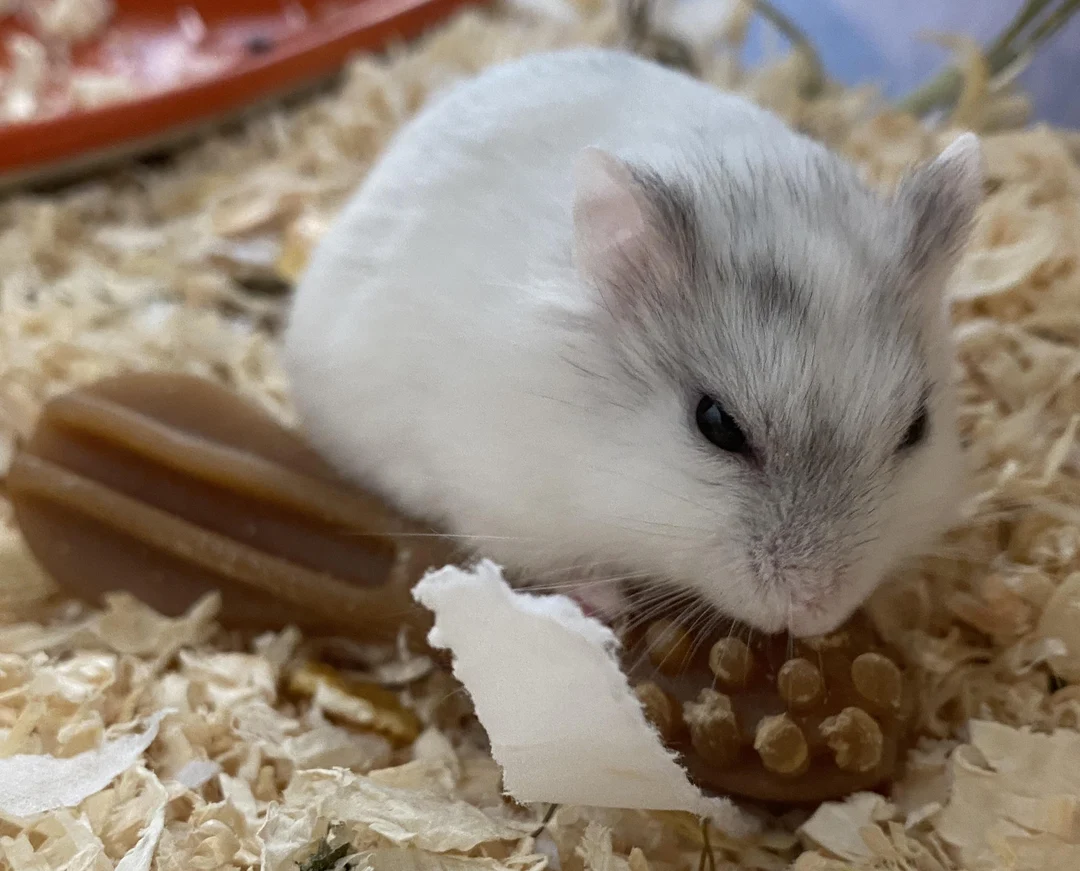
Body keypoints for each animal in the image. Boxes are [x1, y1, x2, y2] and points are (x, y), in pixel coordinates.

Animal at [283, 48, 983, 638]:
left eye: (917, 428)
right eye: (716, 424)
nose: (815, 611)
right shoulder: (503, 501)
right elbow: (557, 562)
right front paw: (608, 604)